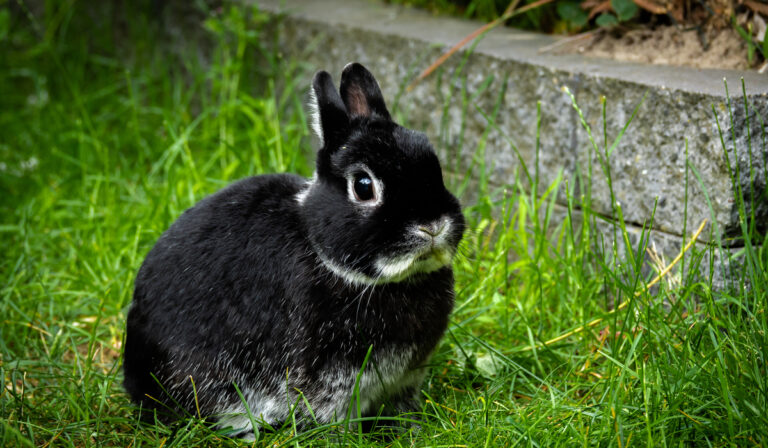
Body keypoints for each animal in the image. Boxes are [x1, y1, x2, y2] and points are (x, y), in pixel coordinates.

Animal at [123, 62, 465, 438]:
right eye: (363, 186)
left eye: (432, 161)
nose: (432, 225)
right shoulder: (330, 383)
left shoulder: (405, 380)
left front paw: (413, 428)